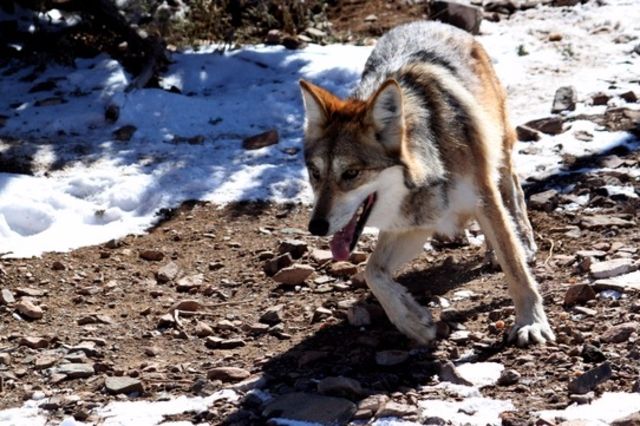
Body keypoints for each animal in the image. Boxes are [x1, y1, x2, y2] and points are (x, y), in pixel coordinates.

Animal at [298, 21, 555, 347]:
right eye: (315, 173)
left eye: (352, 173)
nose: (316, 226)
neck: (434, 159)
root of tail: (430, 22)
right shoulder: (416, 222)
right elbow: (372, 272)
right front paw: (412, 321)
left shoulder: (482, 196)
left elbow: (515, 268)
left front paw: (530, 322)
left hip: (499, 147)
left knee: (513, 191)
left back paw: (522, 241)